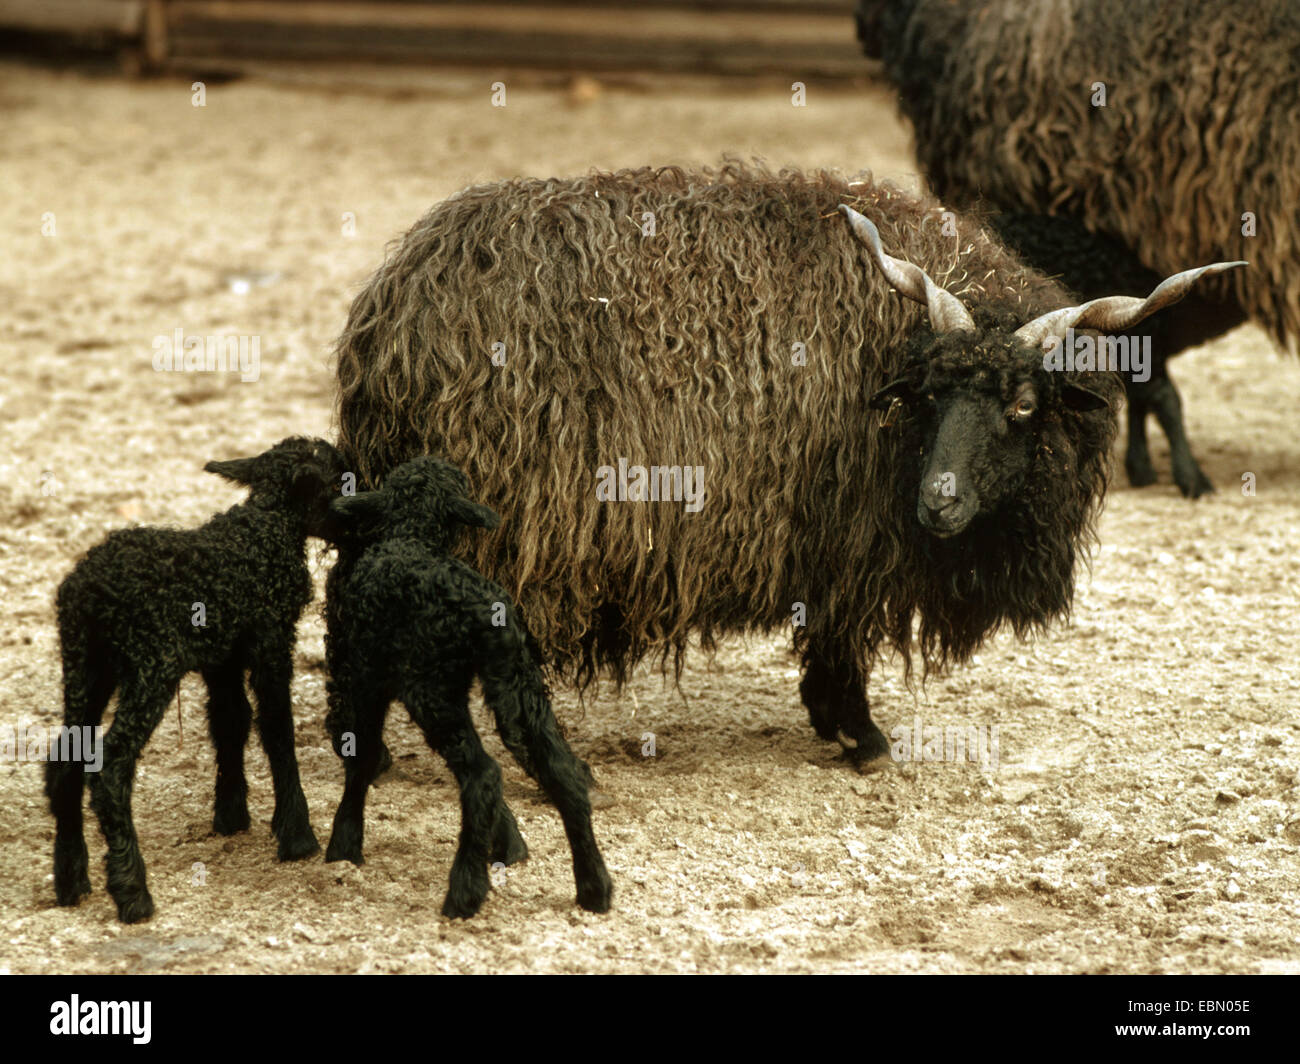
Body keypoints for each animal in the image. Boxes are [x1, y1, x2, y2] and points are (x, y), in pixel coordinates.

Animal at [48, 434, 348, 915]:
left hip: (82, 663)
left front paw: (230, 815)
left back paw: (71, 880)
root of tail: (89, 589)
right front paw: (297, 835)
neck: (265, 530)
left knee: (64, 758)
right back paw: (132, 891)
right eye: (341, 481)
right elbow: (276, 728)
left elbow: (230, 722)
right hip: (151, 663)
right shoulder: (270, 639)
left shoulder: (221, 655)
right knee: (110, 765)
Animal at [322, 455, 611, 910]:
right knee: (562, 771)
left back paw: (464, 893)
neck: (412, 536)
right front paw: (510, 844)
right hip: (519, 684)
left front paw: (344, 845)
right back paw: (593, 887)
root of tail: (483, 613)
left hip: (433, 687)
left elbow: (361, 756)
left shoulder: (365, 674)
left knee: (483, 774)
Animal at [330, 161, 1232, 764]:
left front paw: (835, 723)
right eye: (929, 395)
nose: (937, 503)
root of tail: (392, 307)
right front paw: (861, 735)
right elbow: (842, 638)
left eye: (1021, 404)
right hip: (513, 522)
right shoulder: (855, 543)